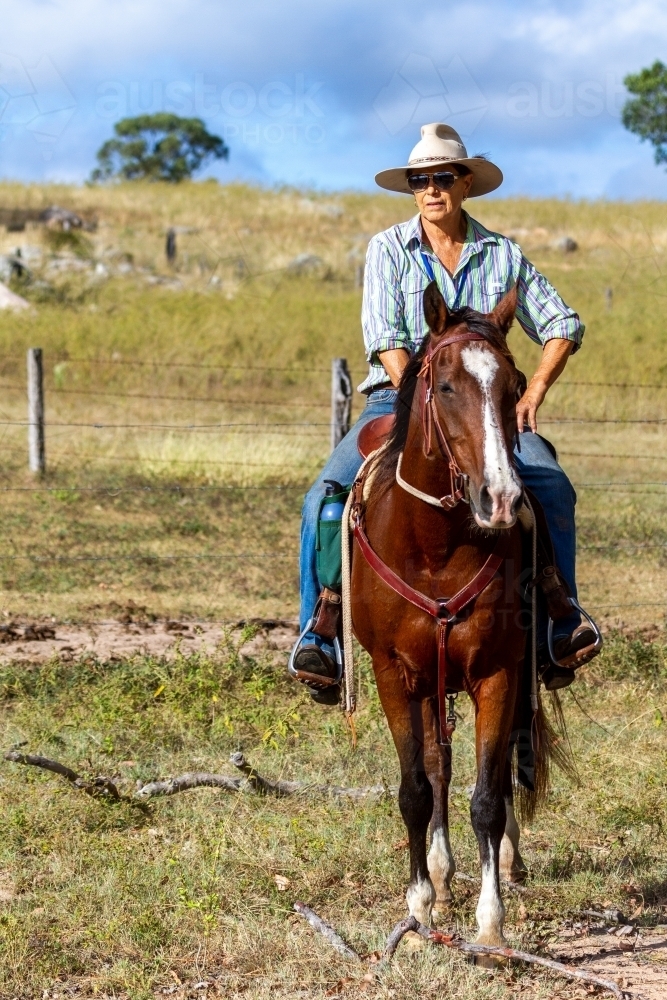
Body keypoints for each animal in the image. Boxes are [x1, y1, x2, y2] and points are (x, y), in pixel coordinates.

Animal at [350, 281, 563, 951]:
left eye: (514, 386)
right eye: (445, 386)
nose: (501, 498)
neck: (435, 548)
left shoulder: (497, 672)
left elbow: (488, 797)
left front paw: (491, 927)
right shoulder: (393, 674)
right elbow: (416, 789)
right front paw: (420, 905)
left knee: (500, 766)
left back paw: (508, 861)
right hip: (427, 681)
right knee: (437, 767)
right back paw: (442, 879)